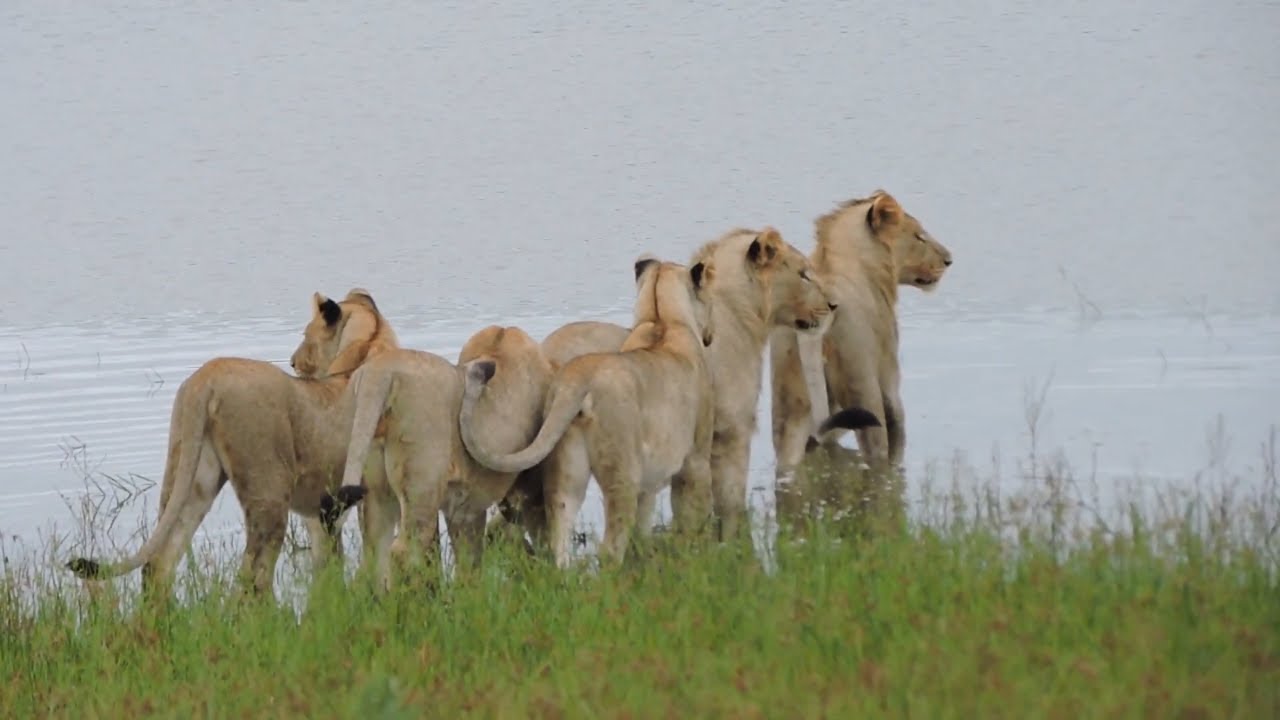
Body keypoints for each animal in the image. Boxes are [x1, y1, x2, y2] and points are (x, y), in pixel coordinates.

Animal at [65, 289, 399, 597]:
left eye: (306, 335)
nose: (292, 362)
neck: (370, 345)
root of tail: (206, 376)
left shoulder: (319, 511)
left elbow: (329, 565)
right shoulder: (364, 492)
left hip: (194, 479)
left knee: (159, 563)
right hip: (269, 489)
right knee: (253, 576)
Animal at [458, 256, 717, 568]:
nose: (711, 336)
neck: (660, 320)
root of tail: (577, 381)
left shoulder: (649, 484)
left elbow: (644, 531)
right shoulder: (696, 460)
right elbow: (694, 521)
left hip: (567, 473)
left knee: (558, 538)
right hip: (622, 472)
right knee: (609, 548)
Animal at [769, 190, 952, 482]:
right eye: (919, 236)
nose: (949, 260)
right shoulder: (889, 376)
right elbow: (898, 428)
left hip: (788, 407)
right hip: (864, 391)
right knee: (876, 450)